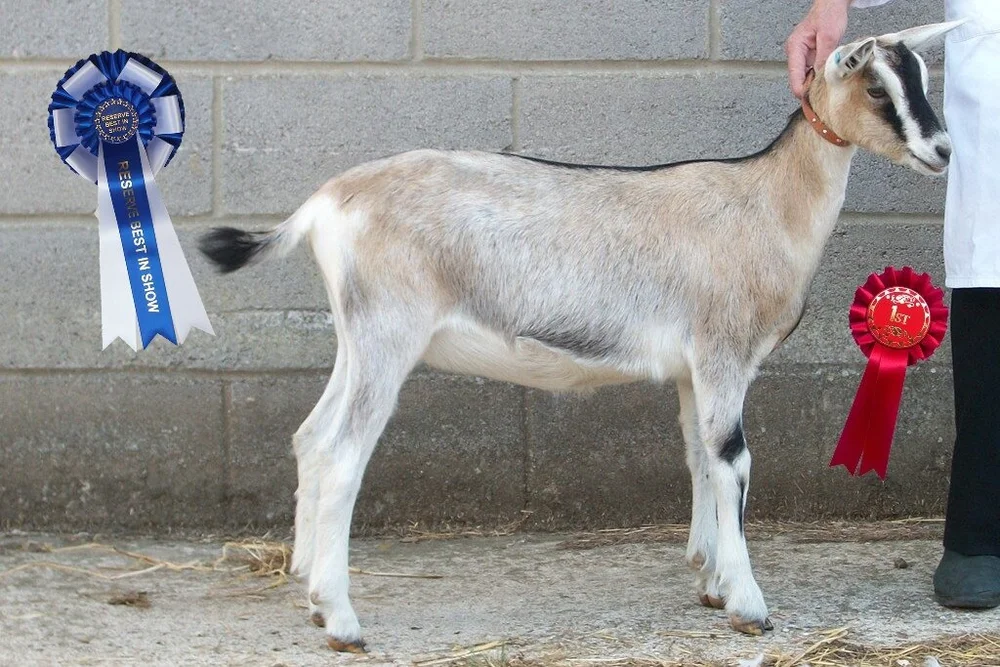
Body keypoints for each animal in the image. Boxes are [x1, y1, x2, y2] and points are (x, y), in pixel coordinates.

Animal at [200, 22, 960, 651]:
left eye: (922, 75)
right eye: (875, 84)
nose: (943, 149)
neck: (767, 202)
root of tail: (324, 204)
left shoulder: (690, 368)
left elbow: (698, 457)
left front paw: (711, 580)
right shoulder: (723, 351)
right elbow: (732, 461)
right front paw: (748, 603)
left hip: (356, 339)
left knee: (309, 437)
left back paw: (307, 588)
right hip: (389, 331)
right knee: (339, 455)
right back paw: (341, 618)